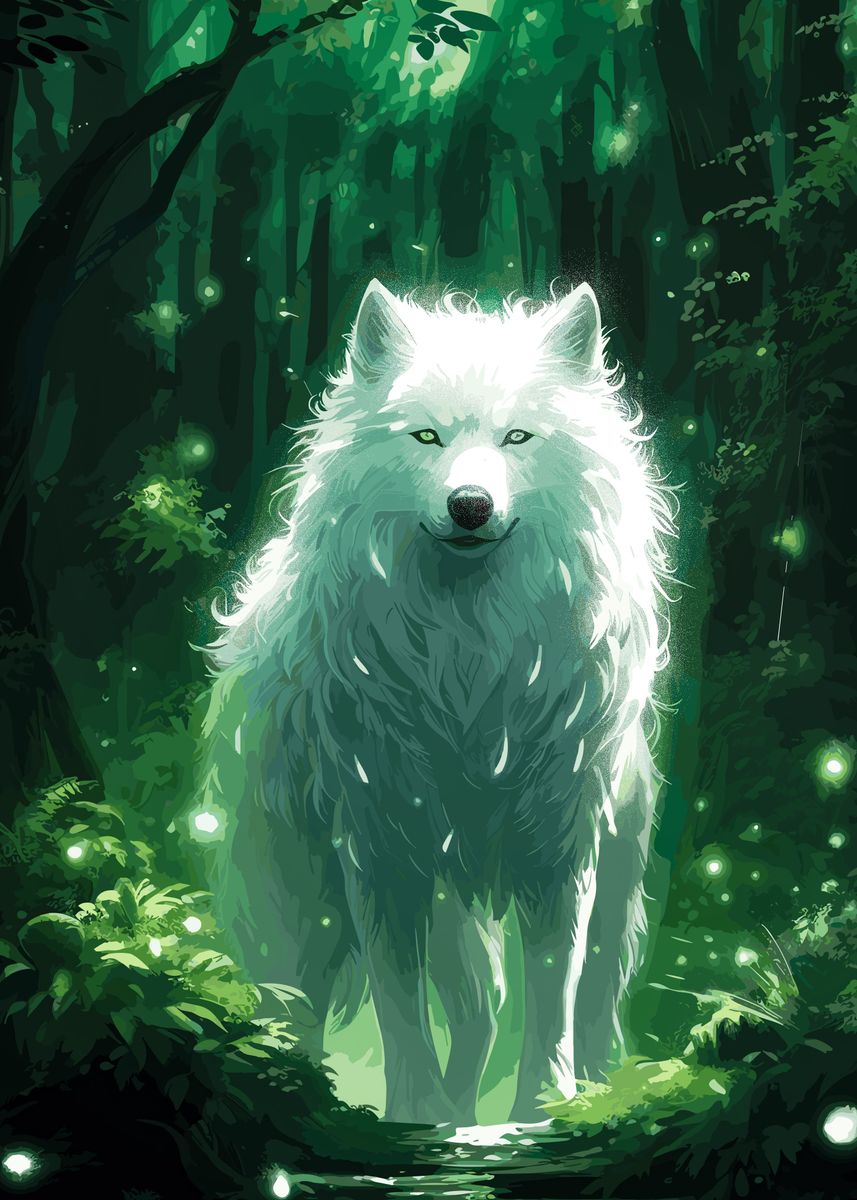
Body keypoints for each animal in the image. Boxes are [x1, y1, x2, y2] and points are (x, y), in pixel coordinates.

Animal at [198, 279, 676, 1126]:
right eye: (426, 436)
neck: (468, 661)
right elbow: (397, 1005)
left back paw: (569, 1091)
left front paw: (541, 1106)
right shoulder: (381, 846)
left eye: (517, 437)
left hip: (601, 873)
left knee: (567, 1002)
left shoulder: (556, 846)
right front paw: (413, 1111)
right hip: (307, 888)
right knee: (311, 999)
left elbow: (552, 991)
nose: (470, 505)